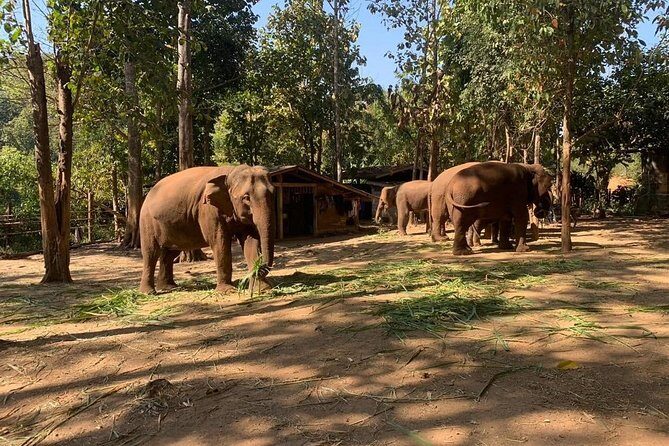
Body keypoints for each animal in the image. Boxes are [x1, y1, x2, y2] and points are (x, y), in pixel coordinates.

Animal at [138, 164, 275, 294]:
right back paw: (149, 292)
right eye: (246, 197)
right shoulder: (208, 209)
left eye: (272, 193)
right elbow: (219, 242)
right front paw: (227, 291)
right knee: (151, 253)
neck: (230, 171)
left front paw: (264, 289)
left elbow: (251, 241)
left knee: (169, 253)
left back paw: (168, 287)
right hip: (147, 221)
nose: (260, 267)